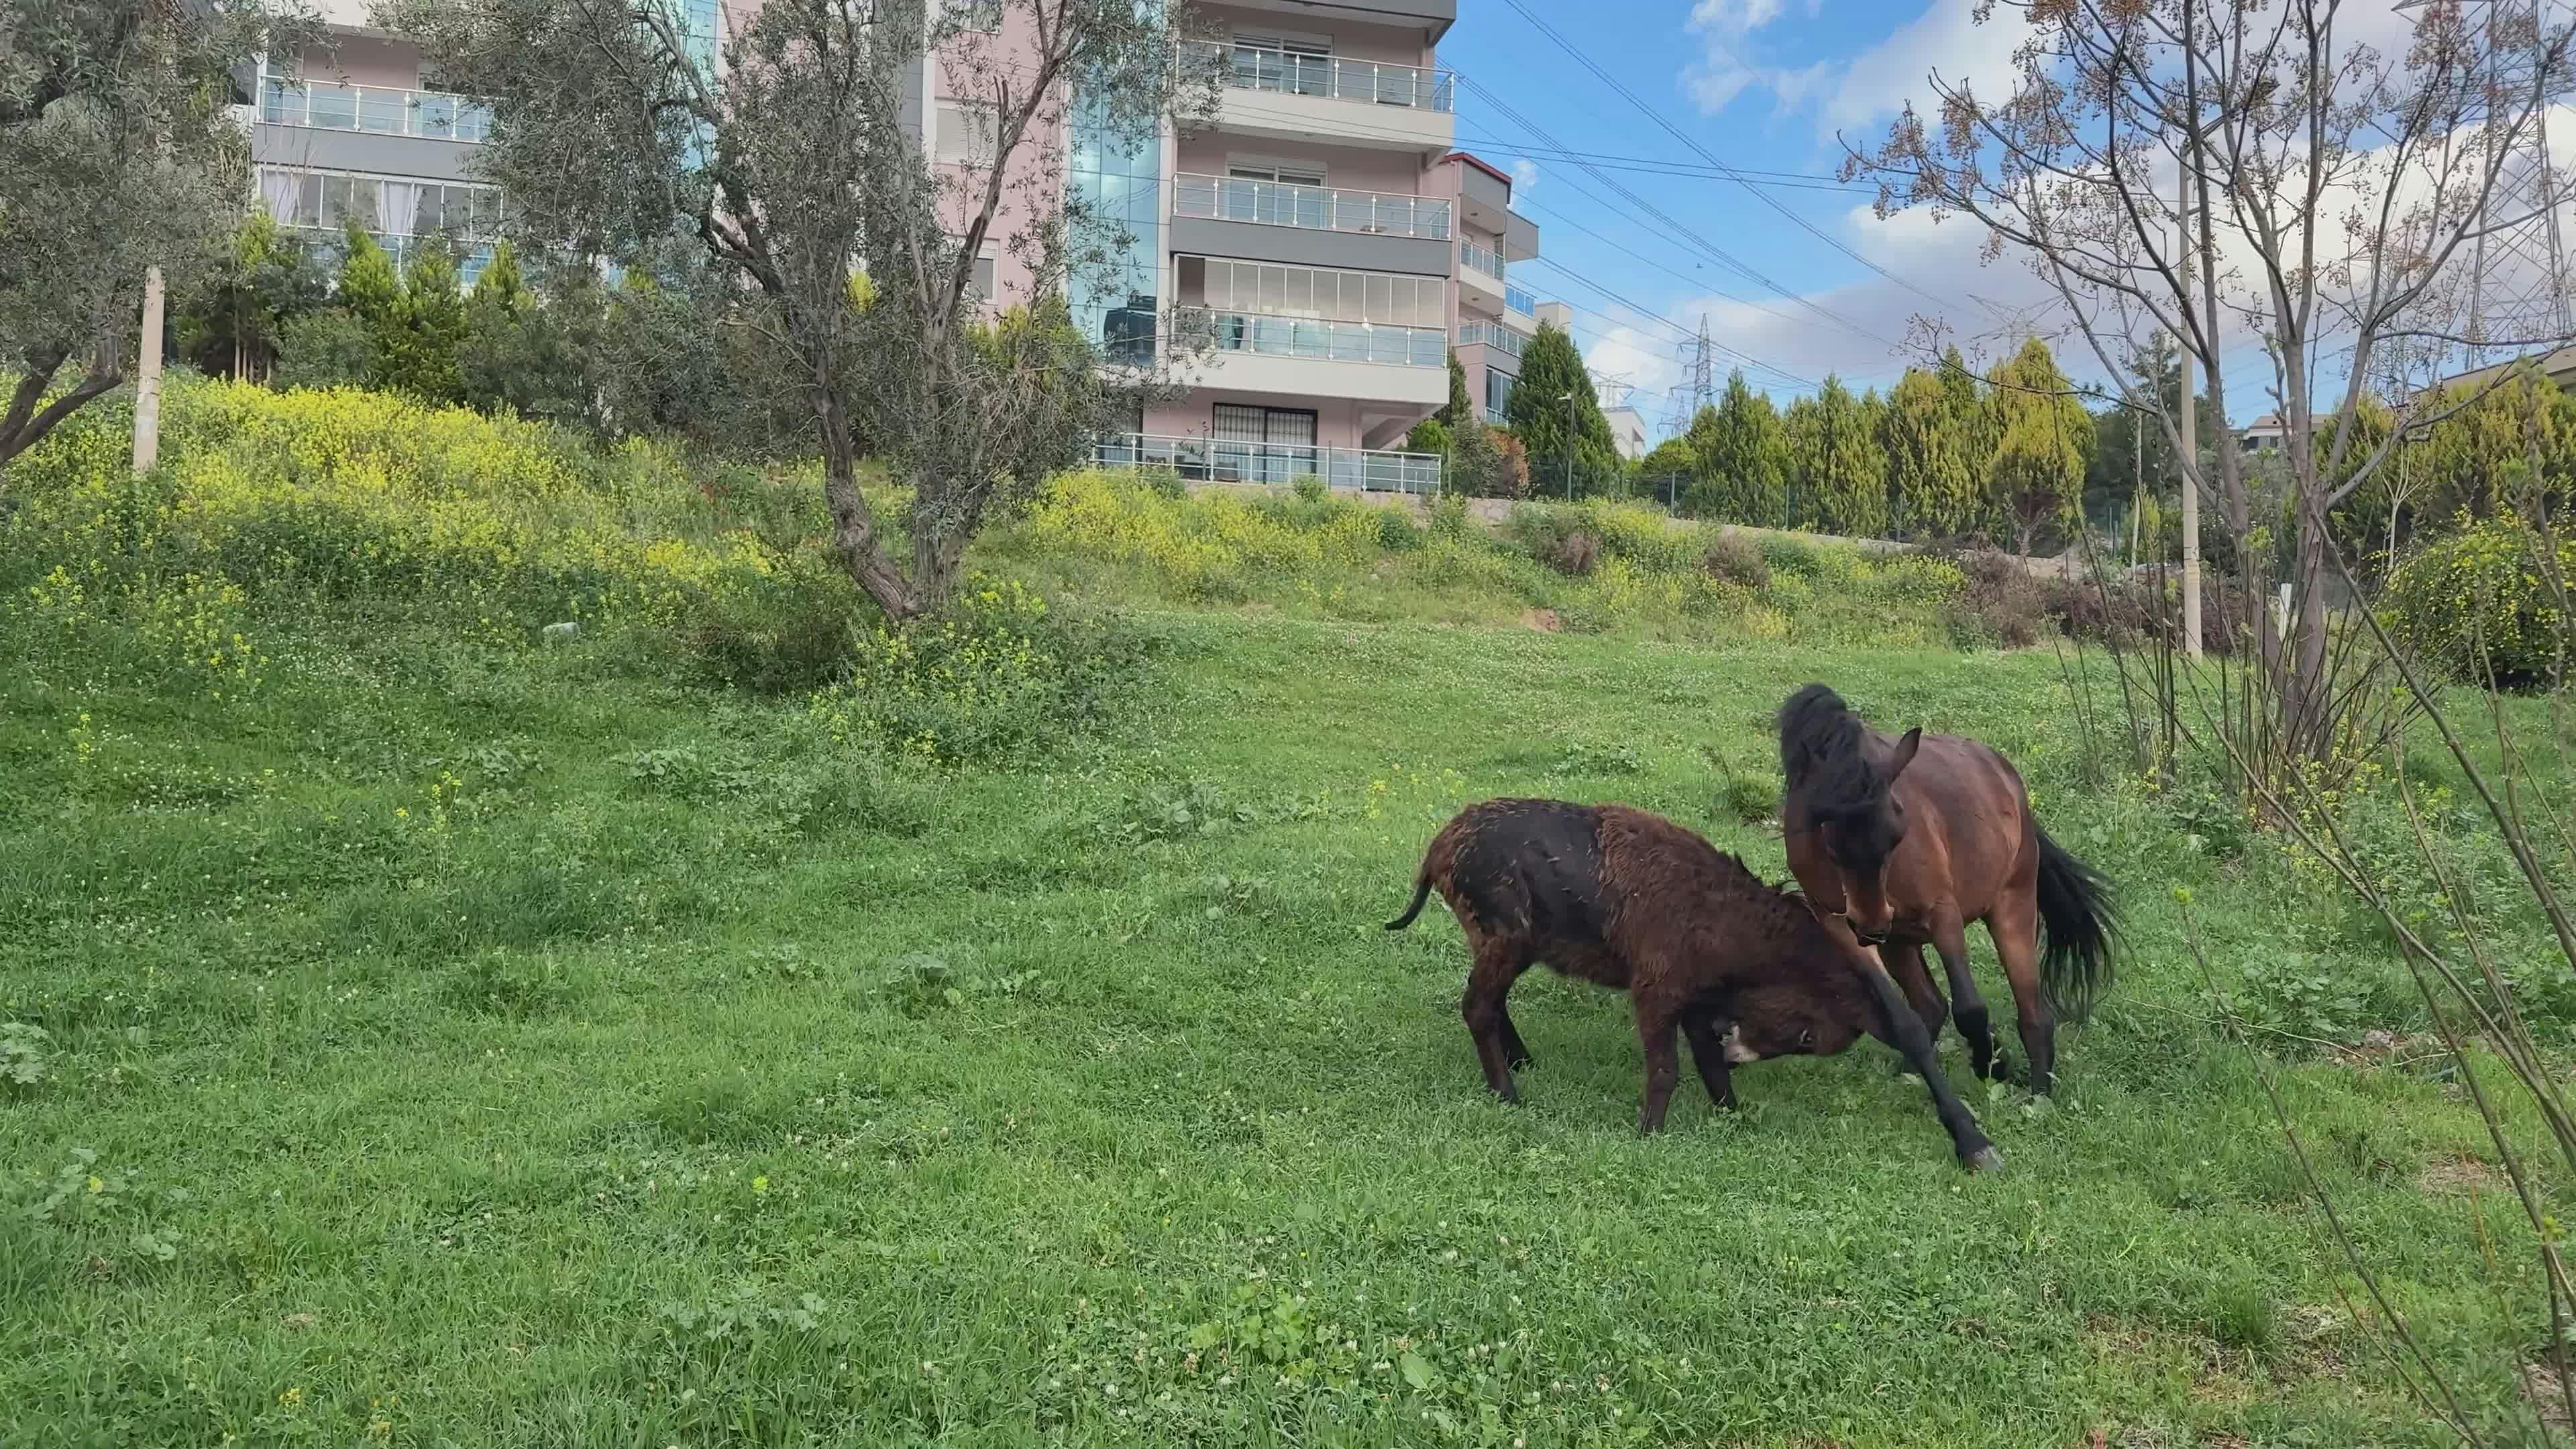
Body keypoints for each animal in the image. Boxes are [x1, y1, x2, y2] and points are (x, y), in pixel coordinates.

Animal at [1776, 683, 2119, 1097]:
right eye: (1830, 841)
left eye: (1898, 832)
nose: (1873, 925)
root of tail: (2007, 777)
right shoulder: (1839, 924)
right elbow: (1903, 1018)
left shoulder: (1942, 912)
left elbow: (1970, 1009)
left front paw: (1993, 1063)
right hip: (1900, 941)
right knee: (1930, 1006)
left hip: (2011, 907)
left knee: (2034, 1014)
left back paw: (2039, 1093)